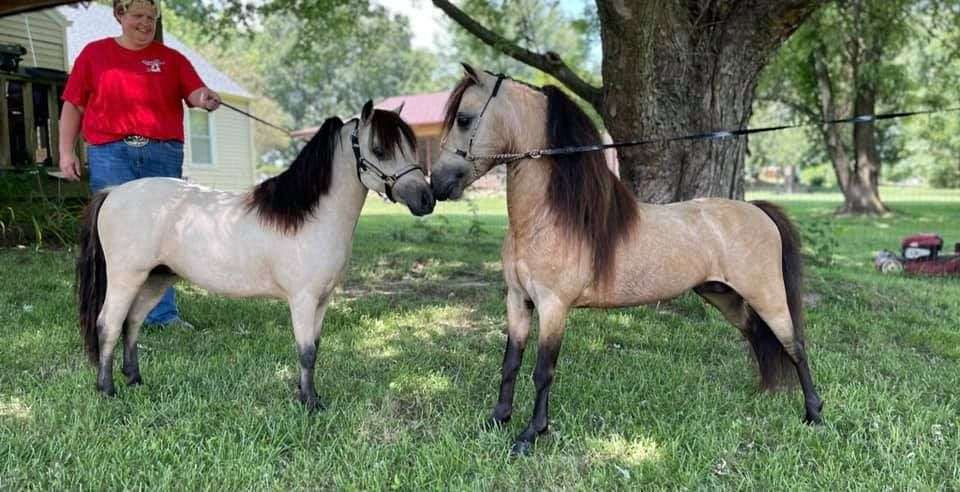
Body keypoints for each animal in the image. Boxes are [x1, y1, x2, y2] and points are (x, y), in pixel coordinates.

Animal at [76, 101, 434, 410]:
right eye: (380, 150)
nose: (426, 199)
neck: (309, 216)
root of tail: (114, 193)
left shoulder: (322, 300)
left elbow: (315, 348)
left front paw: (306, 393)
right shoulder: (302, 299)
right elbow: (306, 351)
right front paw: (310, 404)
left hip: (155, 279)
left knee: (132, 322)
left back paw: (135, 379)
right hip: (126, 278)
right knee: (108, 324)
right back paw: (107, 389)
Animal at [430, 65, 823, 455]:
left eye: (463, 119)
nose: (437, 184)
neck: (544, 219)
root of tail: (757, 210)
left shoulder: (553, 306)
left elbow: (543, 371)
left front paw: (531, 434)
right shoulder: (517, 300)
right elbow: (511, 362)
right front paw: (497, 420)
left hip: (767, 296)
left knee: (794, 345)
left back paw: (814, 414)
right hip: (722, 295)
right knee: (757, 334)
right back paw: (767, 392)